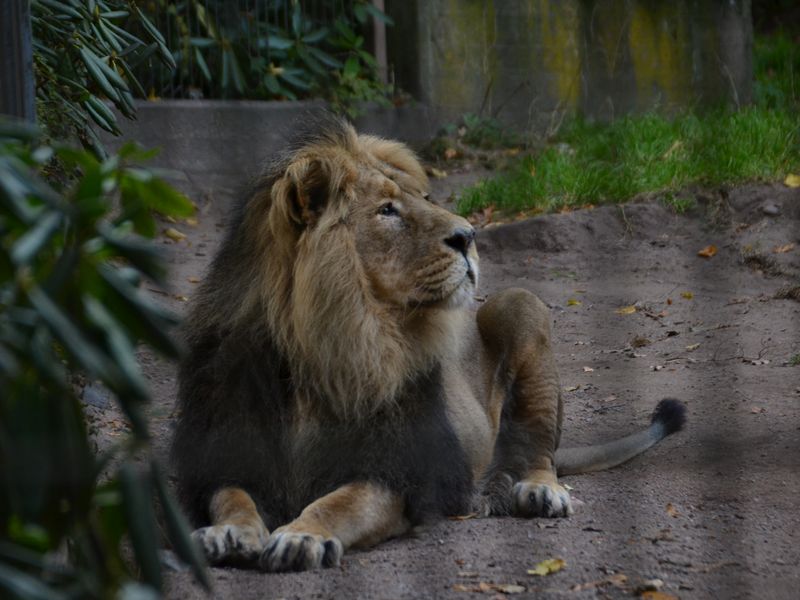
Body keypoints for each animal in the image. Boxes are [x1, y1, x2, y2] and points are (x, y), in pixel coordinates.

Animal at [171, 116, 685, 572]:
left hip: (519, 304)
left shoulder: (400, 472)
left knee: (538, 449)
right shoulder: (225, 451)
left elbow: (340, 503)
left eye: (423, 199)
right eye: (387, 210)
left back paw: (539, 490)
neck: (325, 346)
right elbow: (232, 496)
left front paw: (302, 535)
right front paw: (230, 532)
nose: (469, 236)